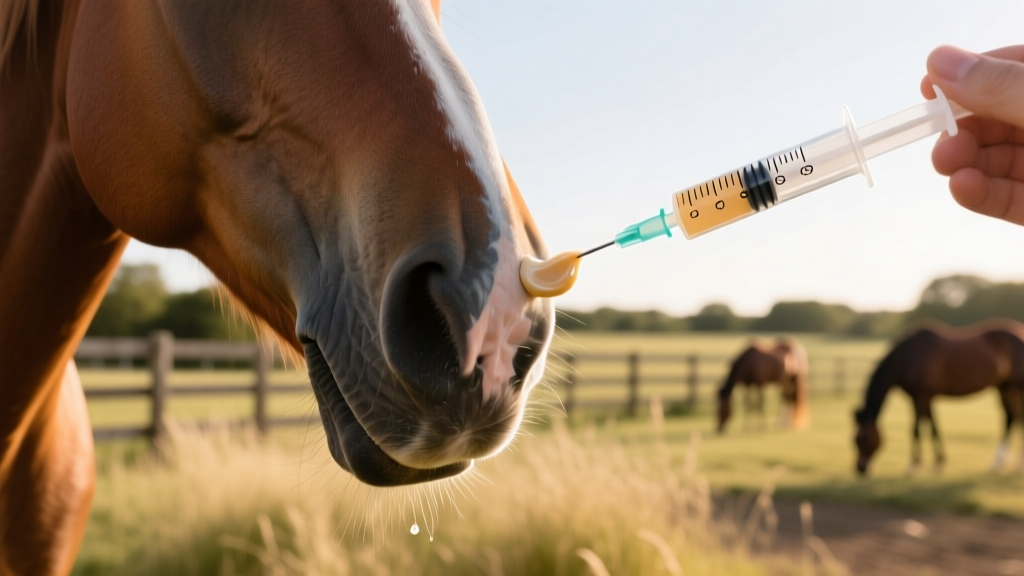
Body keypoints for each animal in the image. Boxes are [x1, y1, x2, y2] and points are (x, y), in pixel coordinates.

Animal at [853, 320, 1024, 476]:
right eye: (854, 439)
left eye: (865, 437)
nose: (860, 468)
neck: (908, 355)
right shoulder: (923, 397)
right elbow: (933, 427)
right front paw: (938, 462)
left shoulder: (922, 397)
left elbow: (917, 429)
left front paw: (914, 465)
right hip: (1005, 386)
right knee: (1012, 418)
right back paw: (1003, 463)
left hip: (1016, 386)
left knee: (1014, 418)